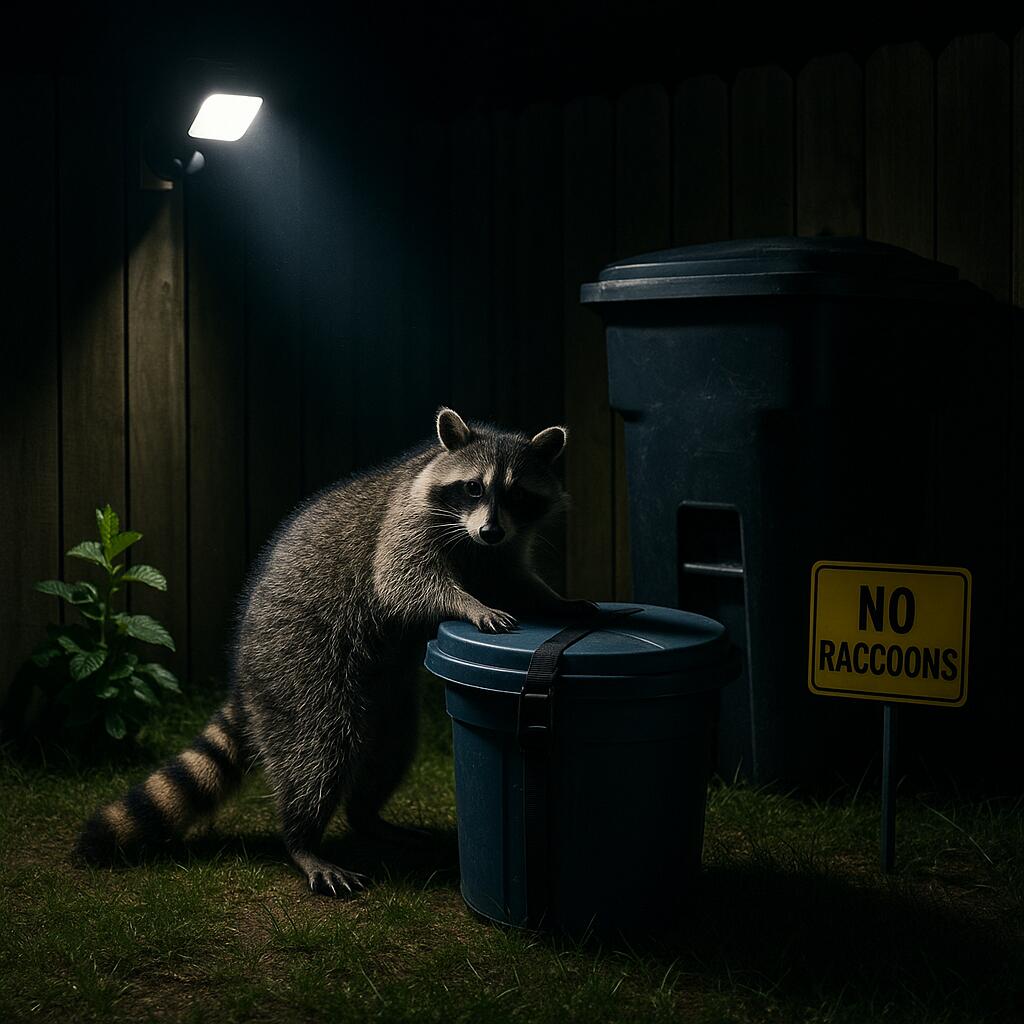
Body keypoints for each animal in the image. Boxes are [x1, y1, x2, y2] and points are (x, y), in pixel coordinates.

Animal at [76, 408, 591, 896]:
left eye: (517, 495)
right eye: (472, 487)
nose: (490, 531)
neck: (470, 539)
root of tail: (244, 674)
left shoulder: (503, 548)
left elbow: (516, 581)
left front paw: (557, 602)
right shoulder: (405, 521)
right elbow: (402, 583)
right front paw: (470, 604)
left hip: (384, 697)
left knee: (390, 748)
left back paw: (367, 815)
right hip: (296, 664)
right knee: (321, 749)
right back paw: (302, 840)